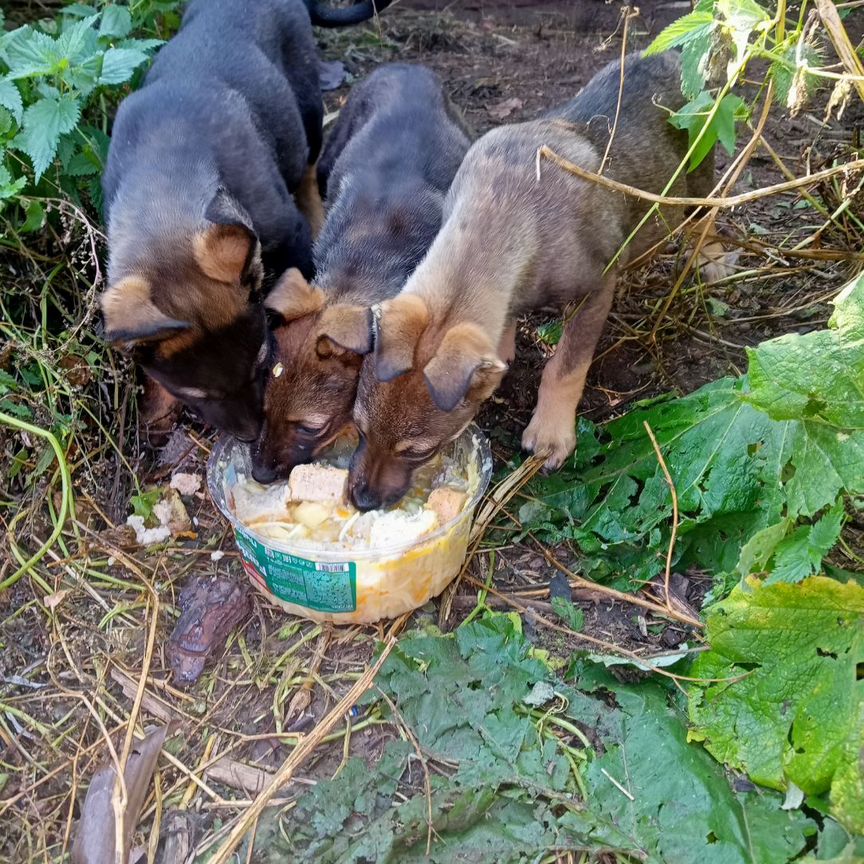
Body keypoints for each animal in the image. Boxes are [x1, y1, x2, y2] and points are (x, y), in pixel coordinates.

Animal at [102, 0, 394, 438]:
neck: (165, 169)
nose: (250, 434)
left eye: (261, 362)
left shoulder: (289, 234)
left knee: (308, 163)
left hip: (305, 105)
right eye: (195, 394)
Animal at [350, 50, 728, 510]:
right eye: (359, 427)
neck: (502, 207)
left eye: (420, 451)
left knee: (708, 215)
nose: (361, 501)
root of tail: (671, 56)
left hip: (699, 178)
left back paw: (713, 259)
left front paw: (550, 434)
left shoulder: (596, 290)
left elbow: (564, 367)